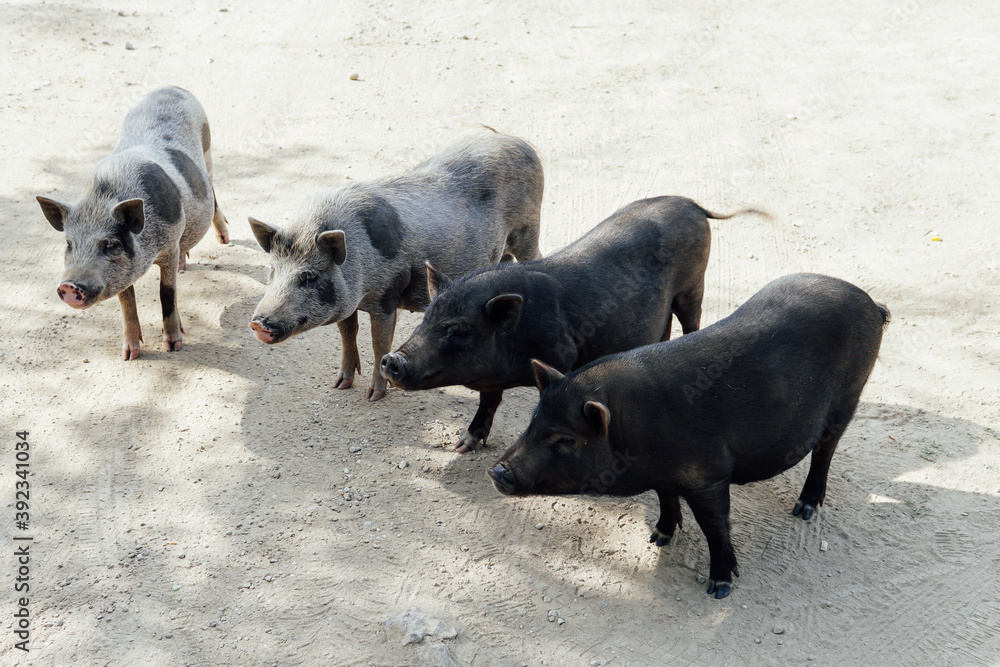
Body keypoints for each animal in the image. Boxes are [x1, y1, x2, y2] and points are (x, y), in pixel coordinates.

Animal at [36, 86, 230, 360]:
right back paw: (184, 266)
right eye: (69, 244)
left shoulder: (169, 245)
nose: (69, 285)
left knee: (213, 193)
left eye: (111, 244)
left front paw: (173, 346)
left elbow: (166, 293)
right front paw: (129, 355)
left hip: (208, 150)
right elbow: (126, 301)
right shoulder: (125, 271)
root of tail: (172, 88)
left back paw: (224, 240)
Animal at [247, 132, 543, 401]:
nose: (259, 323)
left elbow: (379, 344)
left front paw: (373, 396)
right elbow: (347, 334)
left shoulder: (387, 296)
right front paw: (340, 384)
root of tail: (521, 143)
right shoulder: (347, 301)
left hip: (528, 229)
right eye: (272, 271)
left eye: (309, 276)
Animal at [381, 196, 765, 452]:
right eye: (427, 317)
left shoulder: (561, 356)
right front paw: (462, 445)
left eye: (459, 330)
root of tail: (691, 204)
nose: (391, 360)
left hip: (693, 286)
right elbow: (488, 402)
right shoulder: (491, 377)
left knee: (691, 323)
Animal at [487, 273, 890, 598]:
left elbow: (715, 527)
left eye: (566, 439)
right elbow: (665, 498)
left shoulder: (709, 475)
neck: (633, 429)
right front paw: (658, 538)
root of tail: (871, 303)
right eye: (534, 419)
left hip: (851, 393)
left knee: (825, 450)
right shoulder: (664, 475)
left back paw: (804, 509)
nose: (497, 471)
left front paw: (719, 588)